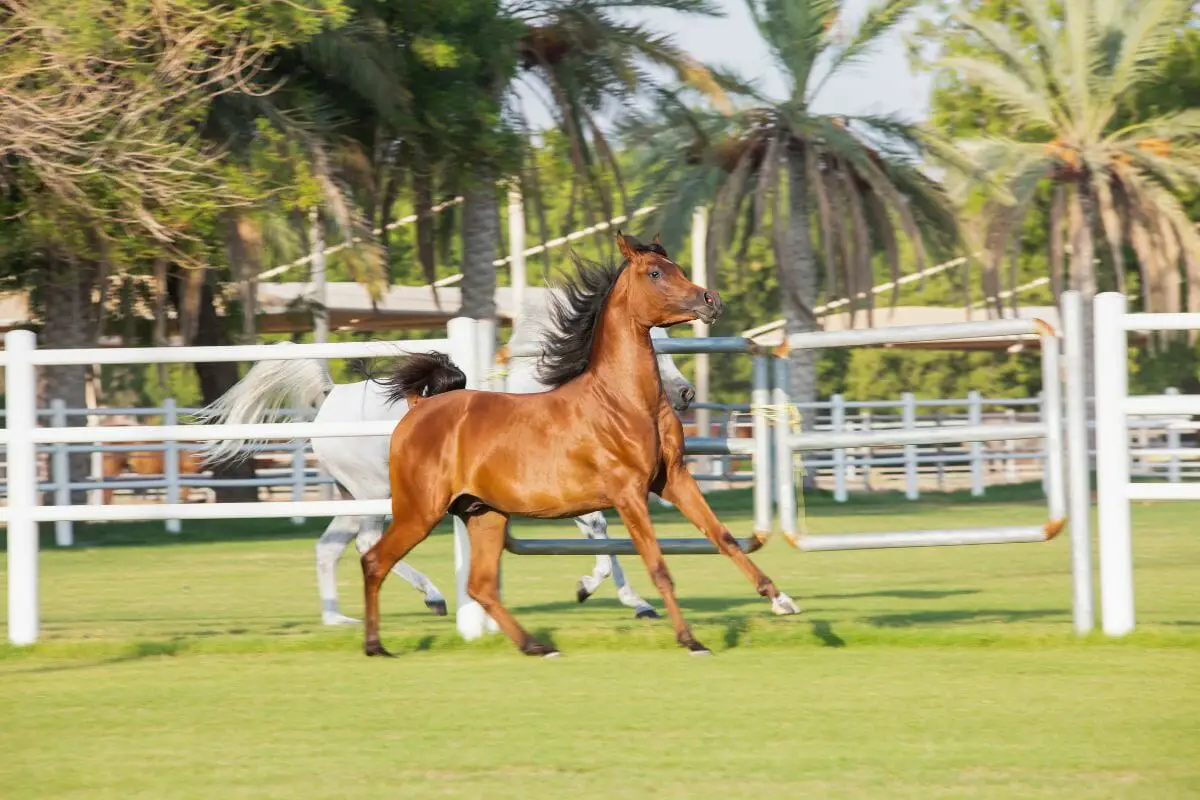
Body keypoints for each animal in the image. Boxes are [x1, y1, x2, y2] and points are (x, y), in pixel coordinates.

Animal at [199, 296, 697, 625]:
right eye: (655, 350)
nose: (687, 394)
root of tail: (330, 395)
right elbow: (600, 533)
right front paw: (608, 593)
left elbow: (601, 532)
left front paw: (631, 601)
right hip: (377, 494)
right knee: (366, 545)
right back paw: (433, 598)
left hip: (352, 496)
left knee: (329, 547)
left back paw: (340, 620)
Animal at [361, 233, 798, 658]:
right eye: (656, 273)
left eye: (679, 268)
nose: (712, 301)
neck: (624, 400)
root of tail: (418, 407)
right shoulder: (629, 495)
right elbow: (658, 567)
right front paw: (690, 640)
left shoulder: (673, 479)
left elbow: (723, 537)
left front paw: (781, 601)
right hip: (420, 512)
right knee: (374, 560)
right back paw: (375, 645)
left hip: (484, 514)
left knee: (480, 586)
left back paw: (537, 646)